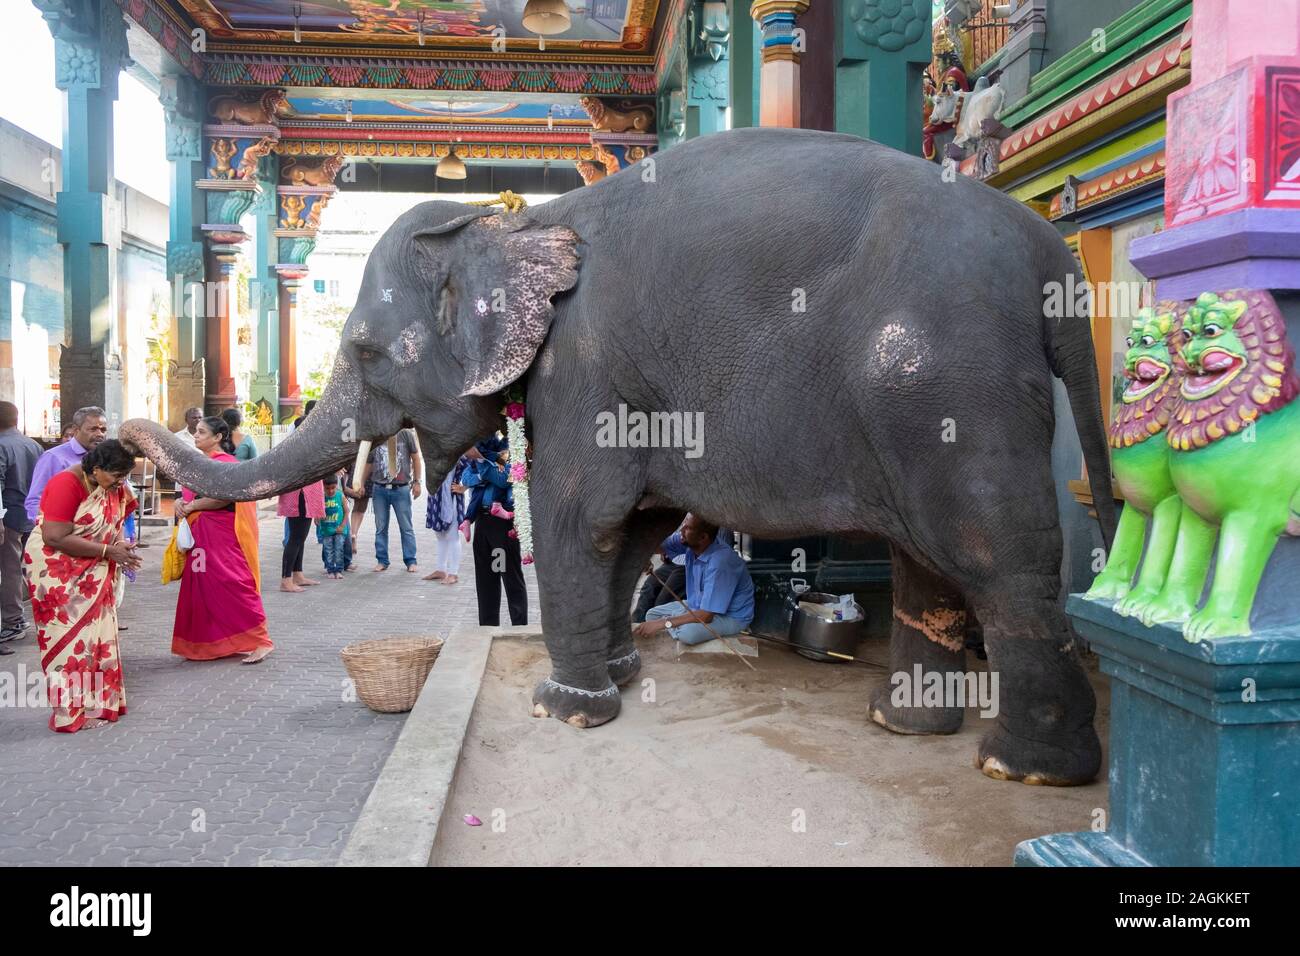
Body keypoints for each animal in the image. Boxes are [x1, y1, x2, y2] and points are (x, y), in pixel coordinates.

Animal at [122, 126, 1116, 786]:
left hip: (944, 382)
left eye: (365, 350)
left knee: (997, 555)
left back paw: (1026, 771)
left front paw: (563, 710)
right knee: (930, 559)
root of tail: (1045, 248)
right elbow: (635, 528)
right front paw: (620, 679)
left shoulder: (583, 366)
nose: (128, 438)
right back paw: (904, 727)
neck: (516, 219)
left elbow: (582, 521)